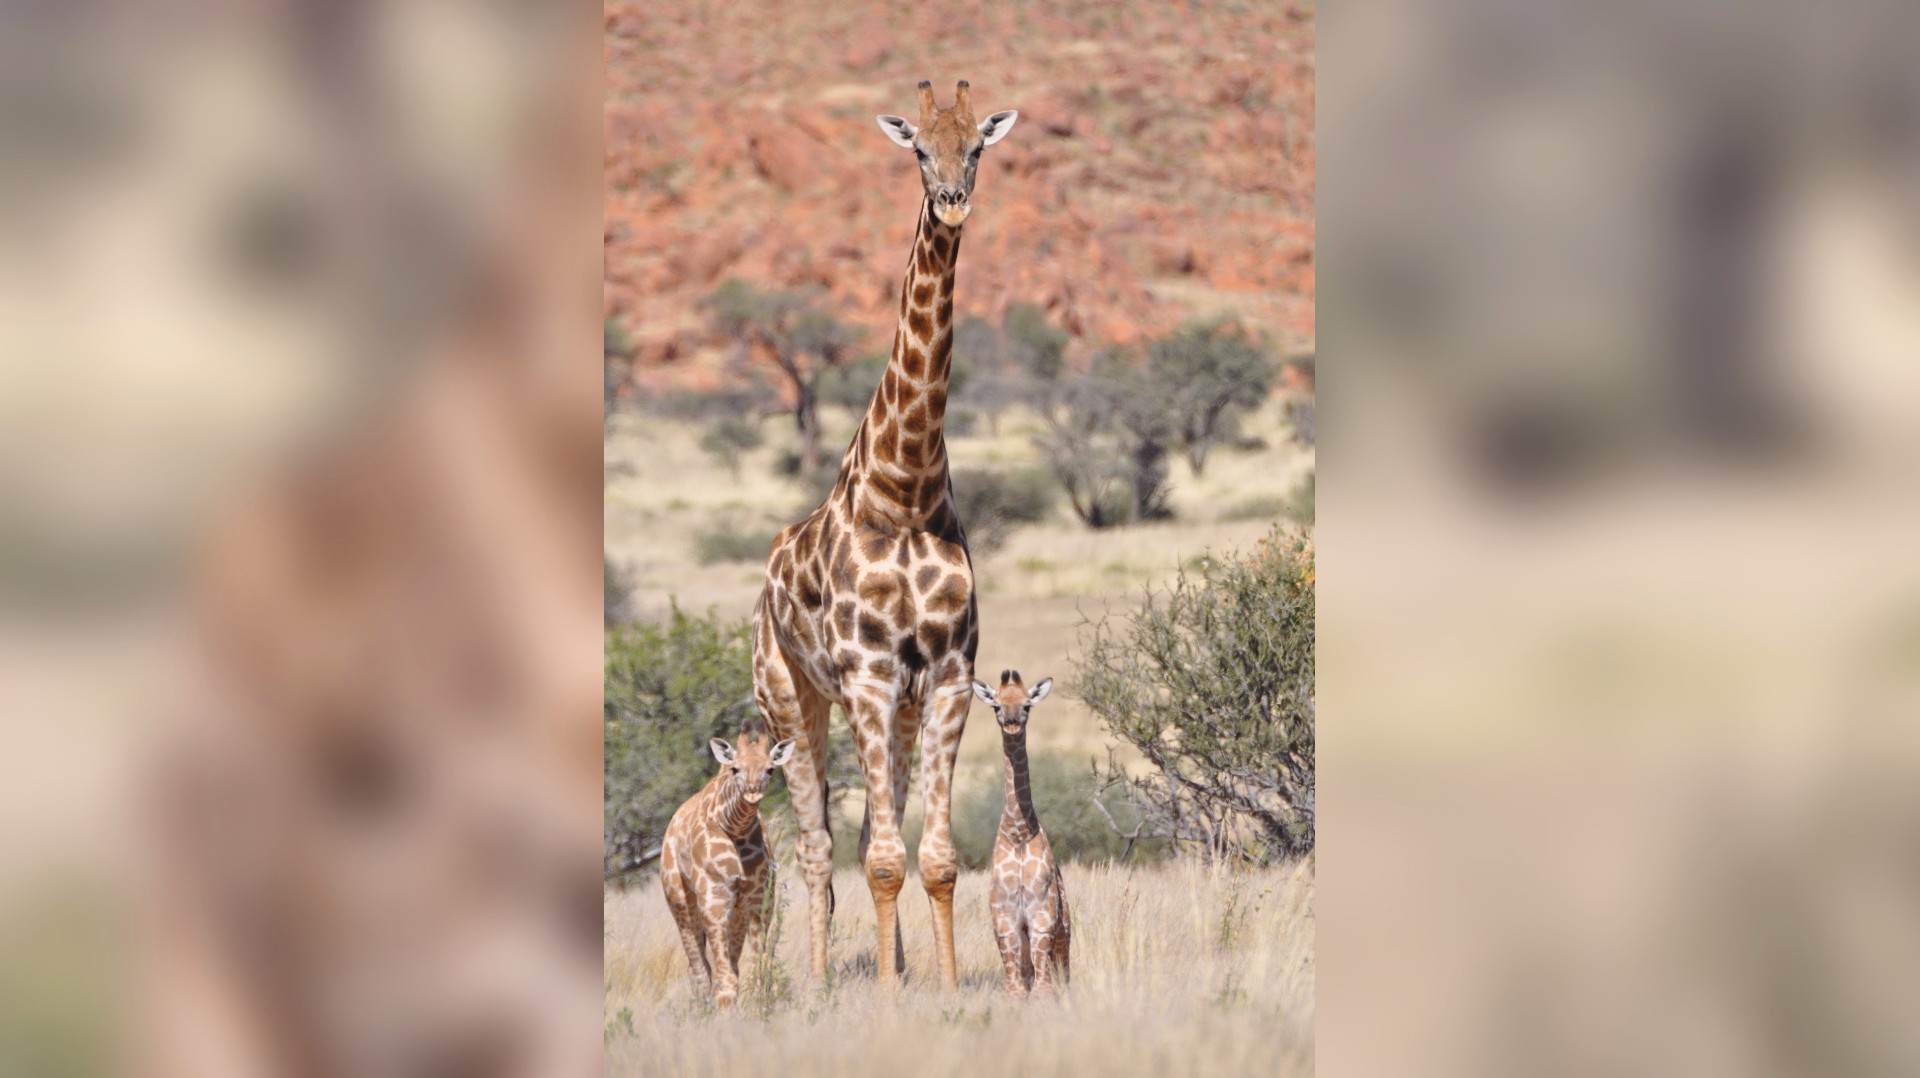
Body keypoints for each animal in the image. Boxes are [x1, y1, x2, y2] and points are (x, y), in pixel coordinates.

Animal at [658, 732, 797, 1009]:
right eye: (735, 769)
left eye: (770, 769)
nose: (753, 793)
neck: (735, 828)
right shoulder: (713, 898)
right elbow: (724, 975)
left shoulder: (759, 902)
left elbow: (759, 965)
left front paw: (762, 1005)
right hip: (680, 901)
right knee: (699, 966)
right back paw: (703, 1007)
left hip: (737, 913)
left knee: (725, 964)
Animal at [750, 80, 1019, 990]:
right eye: (918, 150)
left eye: (978, 145)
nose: (954, 200)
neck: (906, 491)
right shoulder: (866, 678)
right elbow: (875, 859)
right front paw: (891, 996)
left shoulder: (945, 677)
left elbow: (928, 856)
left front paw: (938, 985)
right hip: (790, 703)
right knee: (816, 847)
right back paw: (821, 979)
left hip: (892, 711)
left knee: (878, 828)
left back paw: (887, 965)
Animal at [975, 670, 1072, 997]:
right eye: (996, 706)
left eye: (1027, 705)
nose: (1012, 723)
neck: (1017, 831)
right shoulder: (1004, 914)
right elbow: (1014, 979)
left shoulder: (1042, 911)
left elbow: (1043, 985)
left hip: (1065, 931)